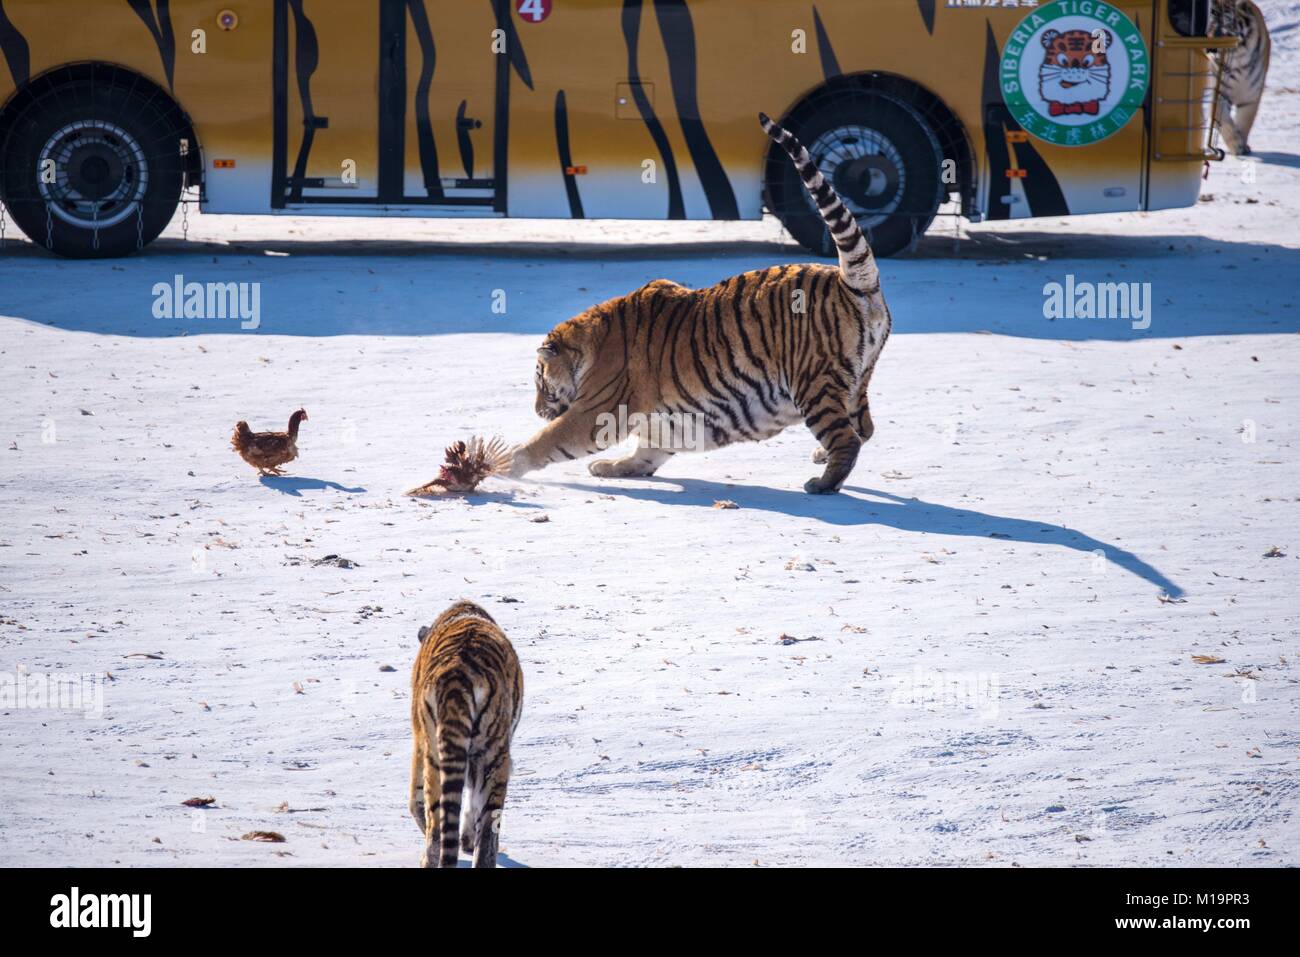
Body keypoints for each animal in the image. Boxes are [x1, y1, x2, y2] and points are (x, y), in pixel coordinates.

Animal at [409, 600, 524, 868]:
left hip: (444, 753)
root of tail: (456, 673)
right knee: (487, 825)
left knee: (437, 824)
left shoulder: (420, 738)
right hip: (491, 755)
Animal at [507, 112, 892, 495]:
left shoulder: (599, 409)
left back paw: (821, 482)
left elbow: (549, 440)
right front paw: (613, 467)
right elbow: (647, 451)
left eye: (541, 381)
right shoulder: (666, 422)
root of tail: (849, 281)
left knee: (847, 439)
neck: (590, 344)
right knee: (865, 428)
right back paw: (819, 456)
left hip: (814, 383)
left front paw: (507, 463)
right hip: (855, 384)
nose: (538, 410)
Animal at [1211, 0, 1271, 156]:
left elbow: (1245, 122)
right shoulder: (1218, 93)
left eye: (1223, 24)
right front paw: (1236, 146)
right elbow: (1224, 122)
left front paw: (1242, 146)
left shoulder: (1250, 94)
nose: (1211, 49)